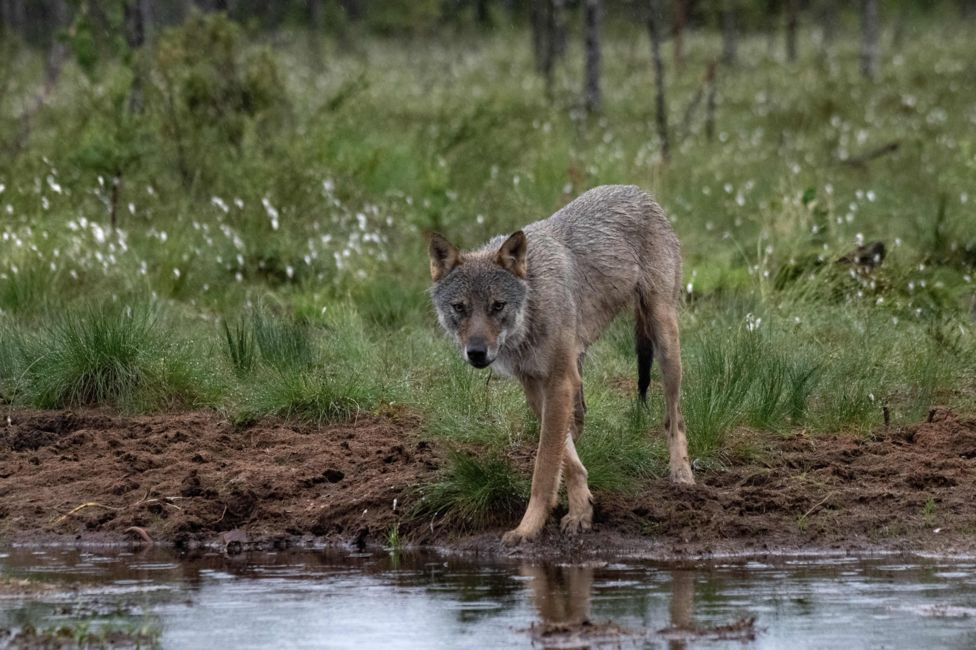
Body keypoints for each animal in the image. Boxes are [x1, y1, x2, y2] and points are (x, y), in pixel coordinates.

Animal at [427, 185, 694, 545]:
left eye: (498, 306)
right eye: (460, 307)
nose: (477, 352)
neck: (532, 306)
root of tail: (638, 191)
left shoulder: (558, 381)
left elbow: (544, 467)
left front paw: (528, 528)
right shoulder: (536, 384)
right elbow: (563, 457)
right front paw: (581, 509)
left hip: (664, 338)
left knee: (674, 416)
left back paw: (682, 474)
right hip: (580, 369)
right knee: (581, 421)